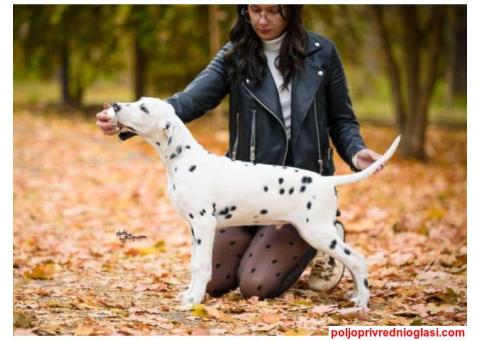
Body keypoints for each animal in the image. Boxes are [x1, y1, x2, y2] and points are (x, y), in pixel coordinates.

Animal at [106, 97, 402, 310]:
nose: (115, 106)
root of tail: (326, 180)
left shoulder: (204, 224)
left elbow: (201, 266)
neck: (184, 160)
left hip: (317, 232)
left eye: (144, 107)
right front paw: (189, 295)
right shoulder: (194, 228)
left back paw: (362, 302)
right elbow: (193, 264)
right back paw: (356, 295)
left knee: (358, 260)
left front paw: (194, 302)